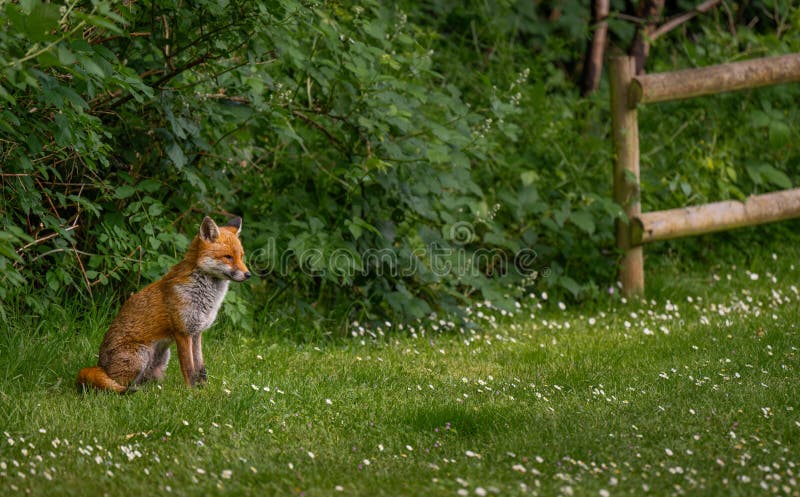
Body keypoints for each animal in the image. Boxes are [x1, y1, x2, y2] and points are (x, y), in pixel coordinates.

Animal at [77, 216, 251, 394]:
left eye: (241, 256)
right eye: (228, 257)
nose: (248, 274)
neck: (205, 297)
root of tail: (100, 366)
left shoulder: (197, 333)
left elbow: (201, 368)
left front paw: (204, 389)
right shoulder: (183, 332)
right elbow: (189, 368)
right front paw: (192, 392)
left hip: (162, 357)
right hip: (141, 355)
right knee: (117, 384)